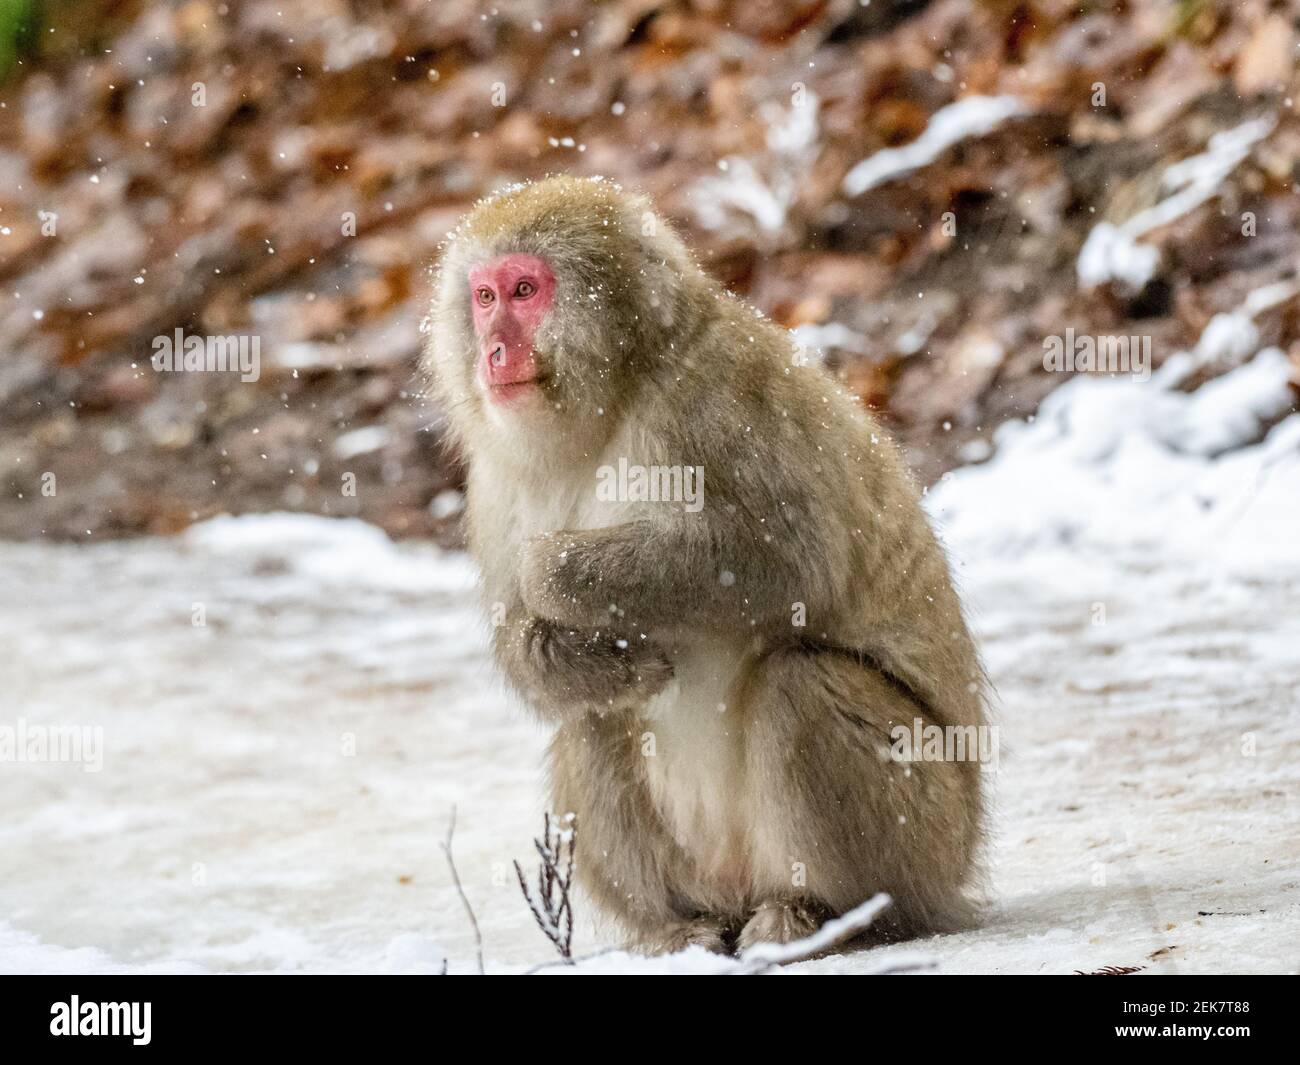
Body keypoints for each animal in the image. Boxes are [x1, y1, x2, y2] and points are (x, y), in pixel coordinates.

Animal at [425, 175, 988, 954]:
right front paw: (579, 652)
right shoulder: (493, 478)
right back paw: (677, 925)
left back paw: (824, 913)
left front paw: (556, 574)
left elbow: (785, 563)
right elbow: (539, 656)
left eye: (526, 289)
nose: (495, 353)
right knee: (592, 720)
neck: (611, 404)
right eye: (483, 297)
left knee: (798, 683)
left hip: (931, 834)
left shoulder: (712, 402)